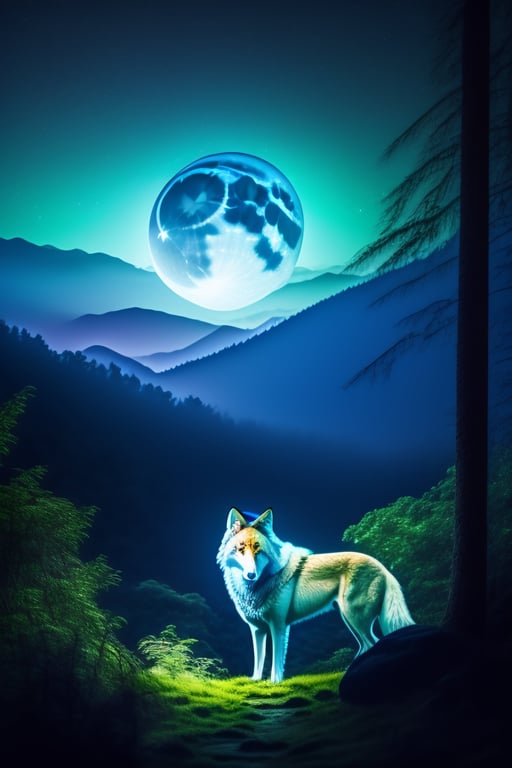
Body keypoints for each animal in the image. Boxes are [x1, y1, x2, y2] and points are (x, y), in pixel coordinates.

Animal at [216, 507, 415, 682]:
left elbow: (276, 663)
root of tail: (383, 568)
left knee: (373, 643)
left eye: (258, 548)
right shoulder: (257, 630)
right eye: (240, 548)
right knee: (365, 646)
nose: (251, 575)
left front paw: (274, 684)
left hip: (355, 619)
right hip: (349, 620)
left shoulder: (279, 626)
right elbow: (258, 661)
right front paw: (255, 682)